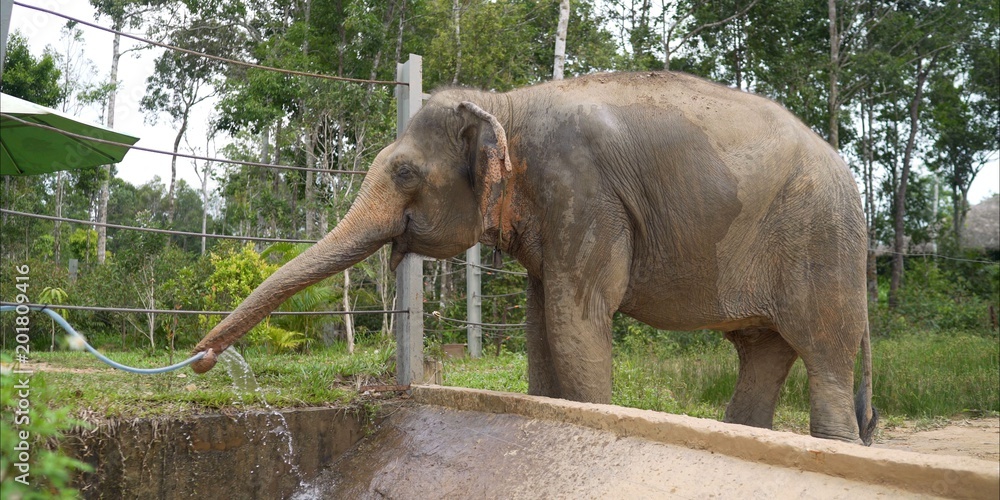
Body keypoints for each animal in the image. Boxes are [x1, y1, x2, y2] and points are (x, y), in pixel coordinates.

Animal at [191, 71, 878, 445]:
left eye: (405, 172)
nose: (200, 359)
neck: (507, 104)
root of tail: (848, 171)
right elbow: (542, 321)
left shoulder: (584, 193)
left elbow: (578, 317)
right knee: (764, 351)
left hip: (822, 248)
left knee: (824, 355)